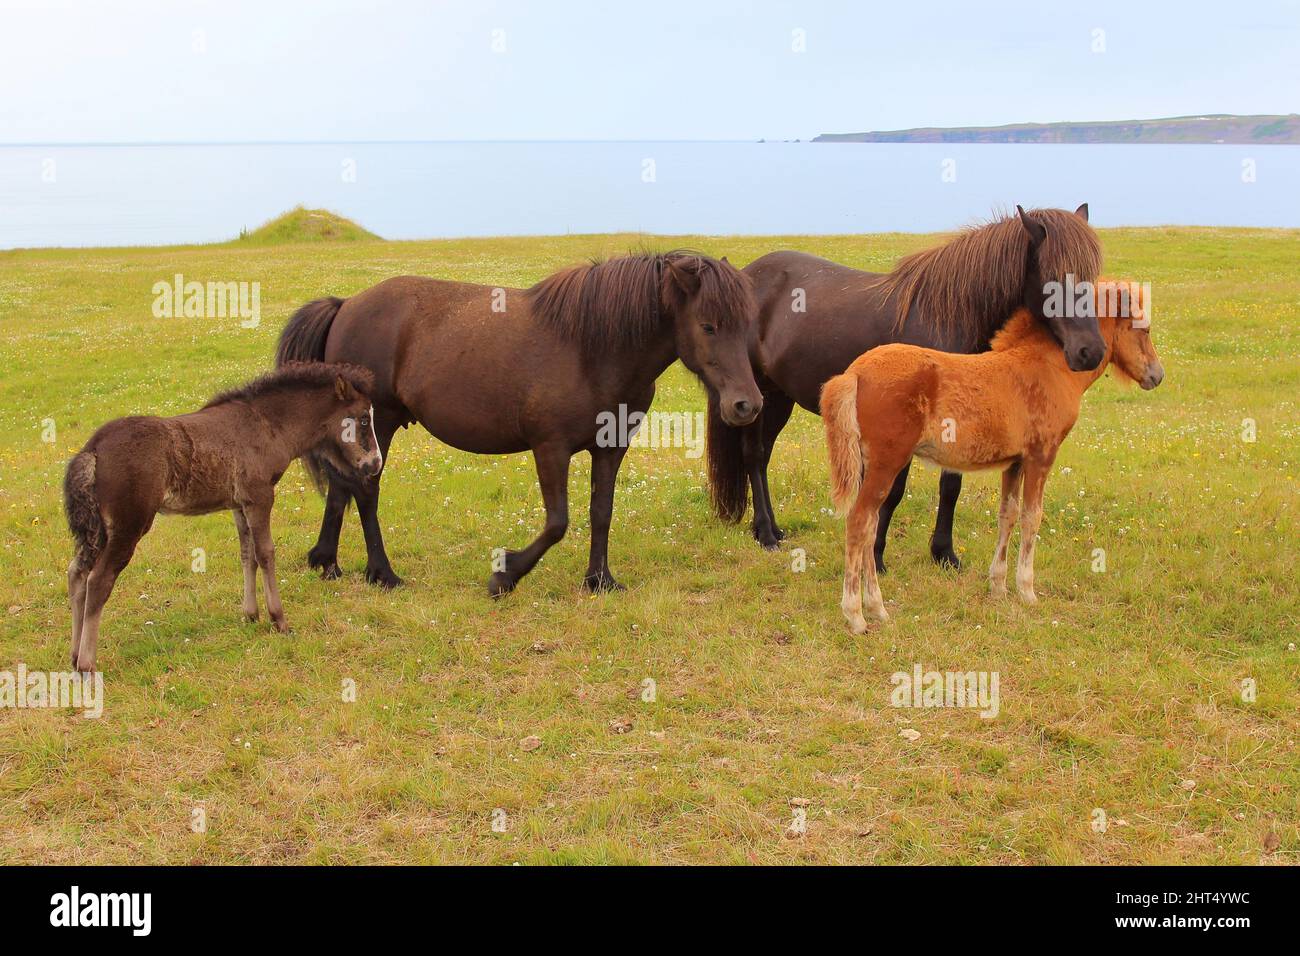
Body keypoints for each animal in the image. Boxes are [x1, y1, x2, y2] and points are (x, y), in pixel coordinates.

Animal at [63, 362, 382, 672]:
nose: (375, 464)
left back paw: (74, 656)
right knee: (98, 580)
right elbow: (266, 554)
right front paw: (279, 620)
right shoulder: (260, 497)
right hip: (129, 525)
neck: (268, 425)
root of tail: (93, 448)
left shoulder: (239, 505)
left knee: (77, 572)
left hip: (98, 530)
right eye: (363, 420)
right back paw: (87, 664)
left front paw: (251, 615)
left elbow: (247, 555)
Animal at [275, 251, 764, 596]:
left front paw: (600, 581)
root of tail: (346, 305)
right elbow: (558, 522)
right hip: (380, 424)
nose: (747, 405)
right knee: (365, 491)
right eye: (708, 326)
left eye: (747, 324)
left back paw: (327, 562)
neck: (593, 348)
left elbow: (601, 512)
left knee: (342, 488)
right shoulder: (551, 448)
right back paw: (382, 573)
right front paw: (505, 575)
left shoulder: (610, 447)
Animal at [706, 205, 1105, 572]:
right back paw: (766, 534)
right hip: (757, 394)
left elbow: (950, 486)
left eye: (1092, 277)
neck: (947, 319)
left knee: (762, 457)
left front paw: (944, 554)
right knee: (754, 455)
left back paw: (771, 528)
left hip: (777, 398)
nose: (1091, 352)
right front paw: (876, 556)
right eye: (1052, 280)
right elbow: (892, 491)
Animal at [820, 279, 1163, 634]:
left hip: (870, 465)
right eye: (1145, 330)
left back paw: (877, 608)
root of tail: (855, 373)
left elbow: (1007, 514)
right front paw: (1026, 590)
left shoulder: (1015, 462)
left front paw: (998, 586)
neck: (1049, 367)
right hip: (886, 462)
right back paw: (857, 615)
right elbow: (1032, 517)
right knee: (860, 522)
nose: (1157, 375)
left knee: (871, 524)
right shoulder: (1041, 456)